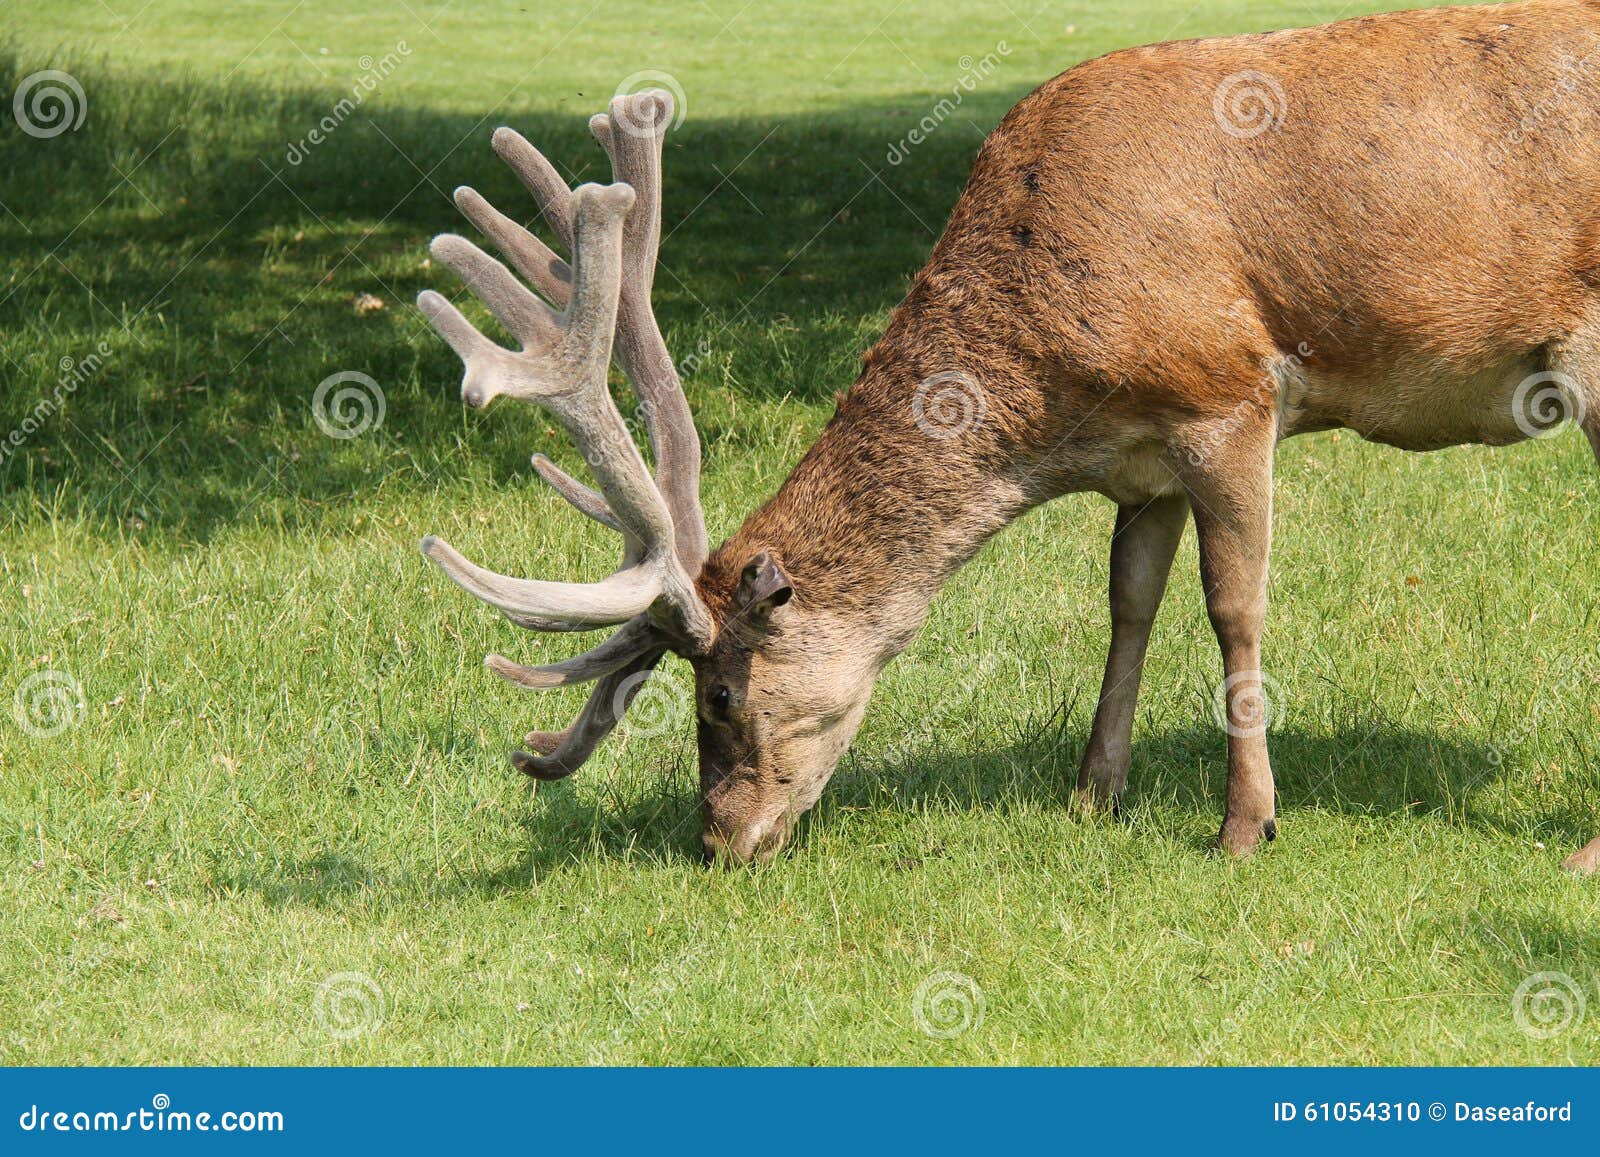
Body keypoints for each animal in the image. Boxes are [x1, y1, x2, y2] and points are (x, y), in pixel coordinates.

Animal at [418, 0, 1600, 872]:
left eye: (717, 693)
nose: (717, 839)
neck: (1050, 398)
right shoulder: (1142, 457)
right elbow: (1128, 602)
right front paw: (1091, 794)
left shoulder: (1226, 392)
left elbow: (1234, 607)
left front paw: (1244, 824)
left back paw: (1578, 850)